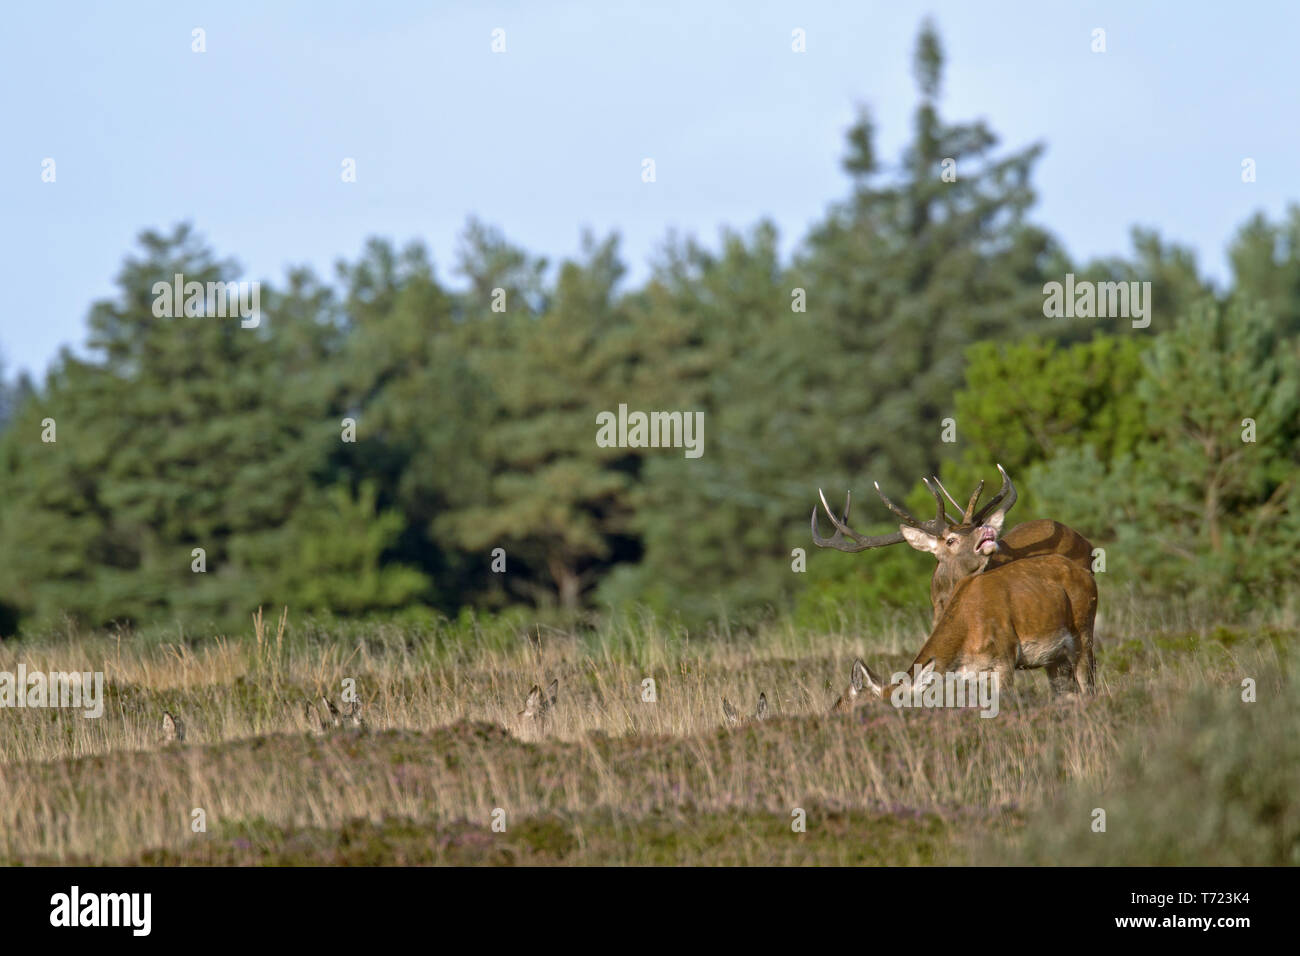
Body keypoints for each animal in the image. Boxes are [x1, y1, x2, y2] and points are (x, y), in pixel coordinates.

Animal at [831, 552, 1098, 707]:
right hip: (1054, 658)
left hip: (1084, 630)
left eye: (859, 705)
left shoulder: (1005, 657)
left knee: (1087, 682)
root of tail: (1087, 574)